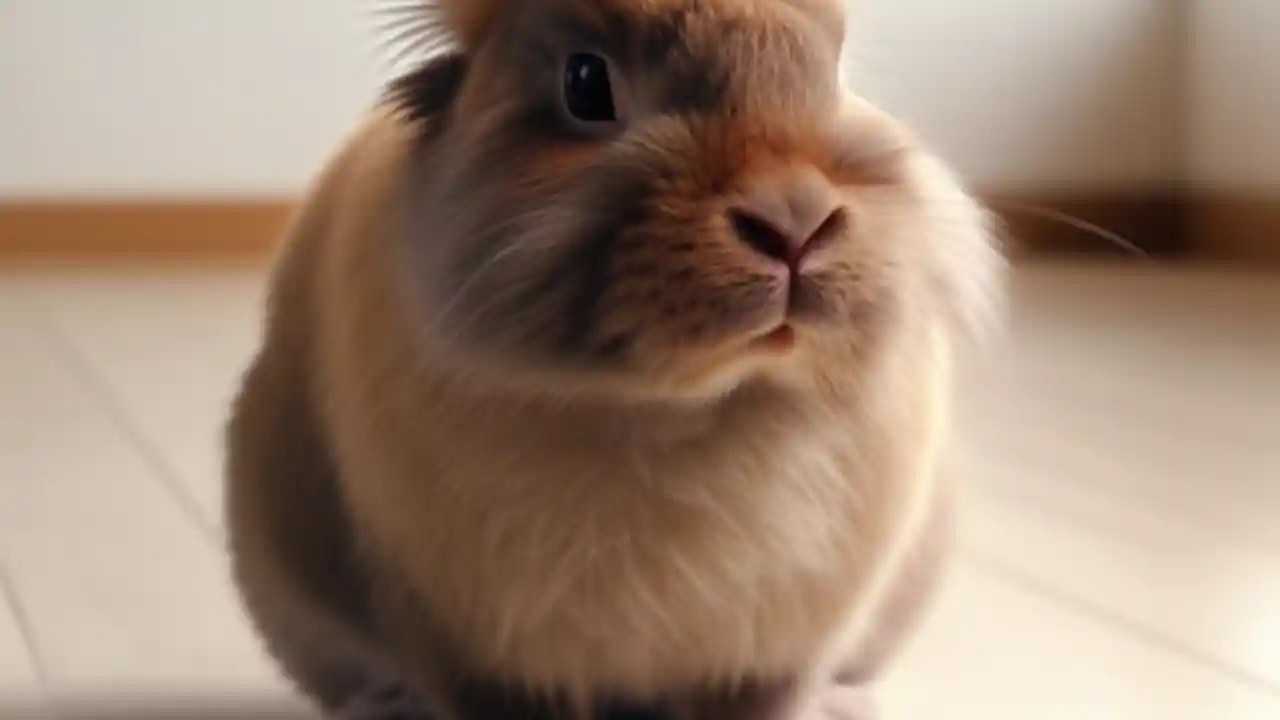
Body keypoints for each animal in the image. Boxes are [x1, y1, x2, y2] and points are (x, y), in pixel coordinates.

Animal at [225, 1, 1003, 718]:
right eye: (586, 83)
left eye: (835, 71)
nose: (795, 222)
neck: (681, 414)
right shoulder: (473, 651)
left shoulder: (772, 658)